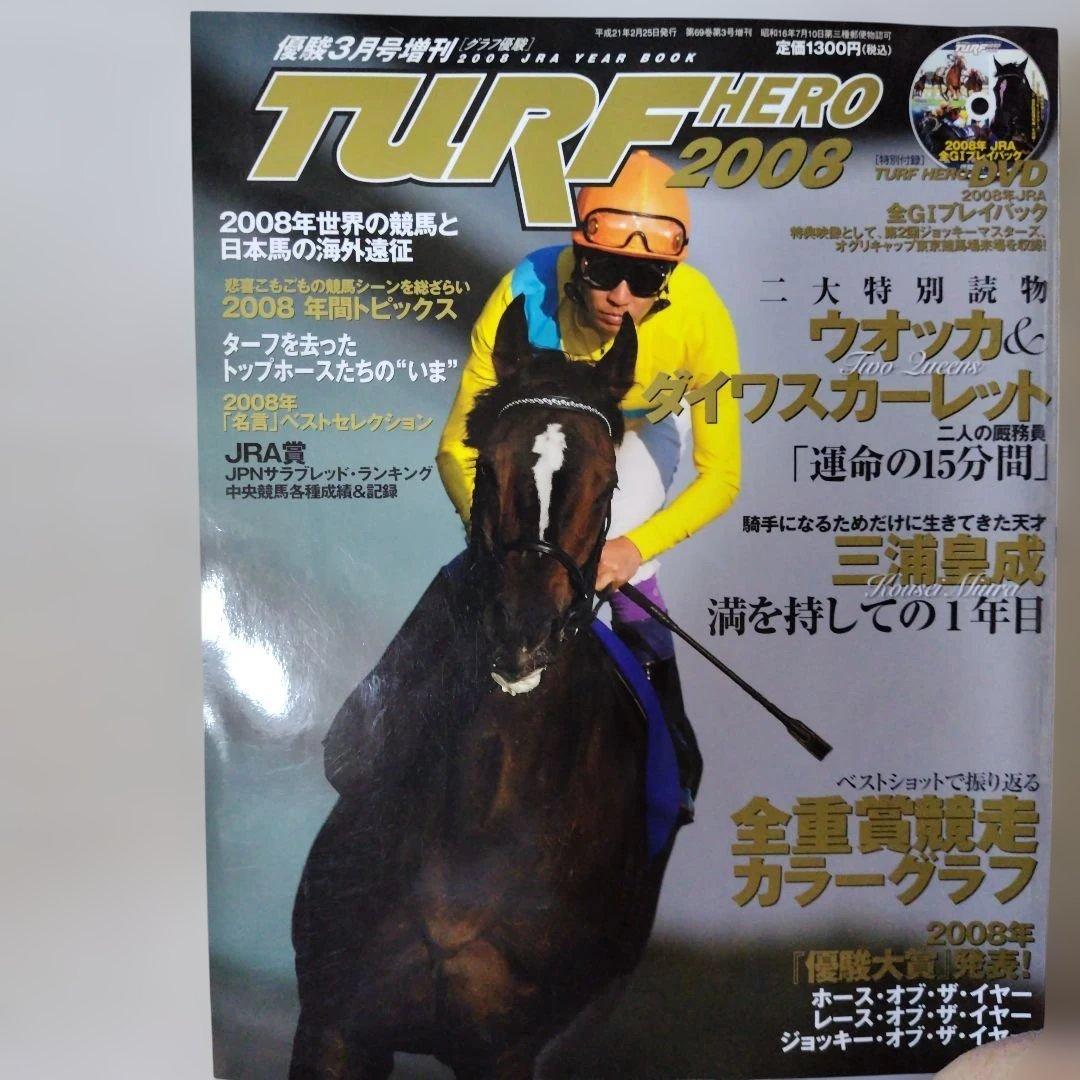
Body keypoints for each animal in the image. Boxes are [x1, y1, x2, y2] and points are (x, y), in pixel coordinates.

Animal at [288, 297, 679, 1079]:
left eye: (608, 484)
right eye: (489, 466)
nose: (521, 632)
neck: (485, 809)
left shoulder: (507, 1049)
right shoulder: (334, 1026)